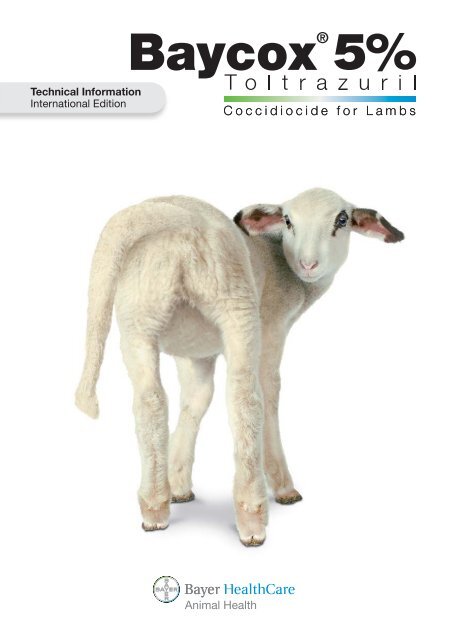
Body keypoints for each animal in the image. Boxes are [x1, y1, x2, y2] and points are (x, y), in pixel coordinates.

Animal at [75, 188, 404, 546]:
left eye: (341, 220)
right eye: (288, 220)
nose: (308, 264)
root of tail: (175, 219)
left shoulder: (195, 352)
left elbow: (195, 401)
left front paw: (177, 484)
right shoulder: (272, 326)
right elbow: (269, 392)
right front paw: (284, 488)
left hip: (138, 314)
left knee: (150, 402)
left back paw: (153, 508)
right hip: (236, 305)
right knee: (245, 399)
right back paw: (252, 517)